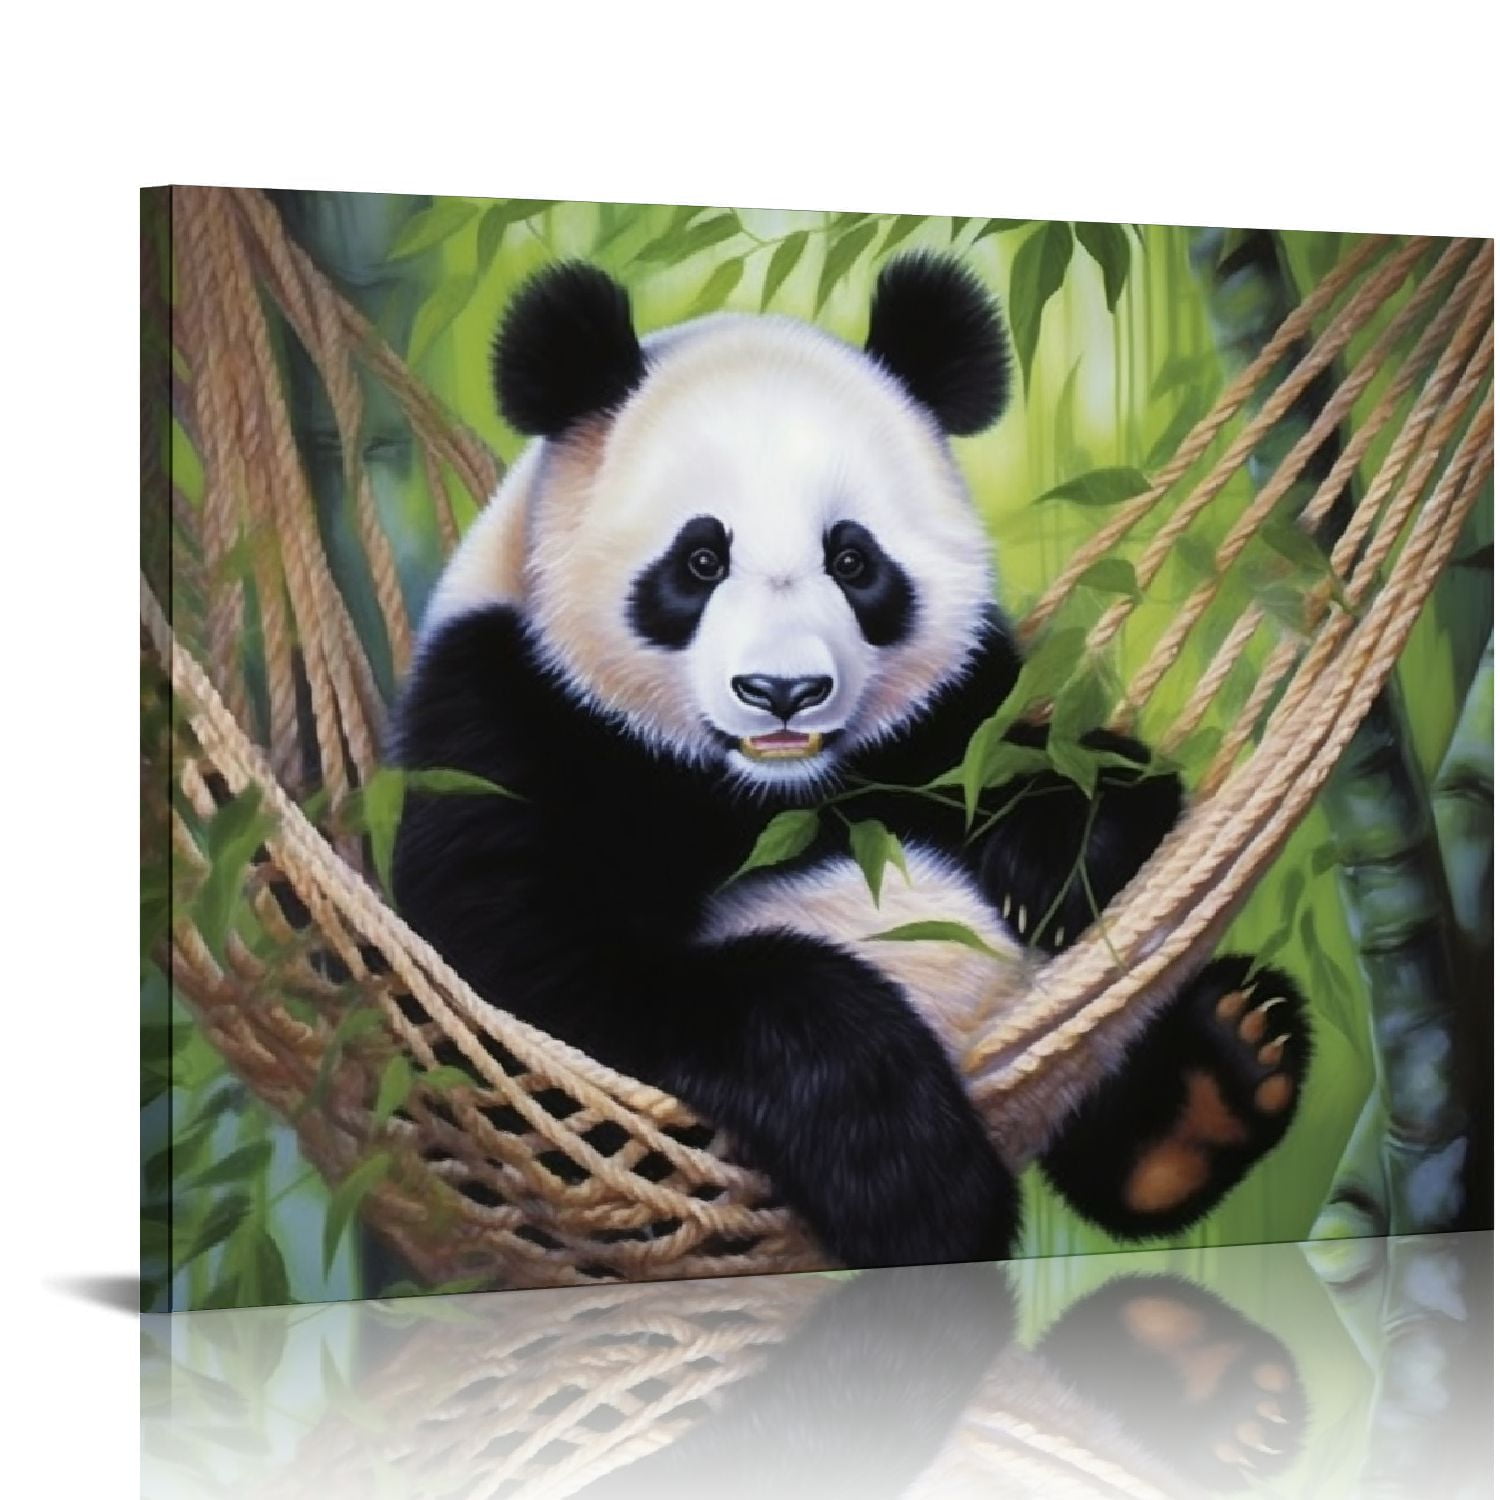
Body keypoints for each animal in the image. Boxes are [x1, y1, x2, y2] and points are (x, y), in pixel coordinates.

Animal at [389, 253, 1310, 1269]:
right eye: (700, 560)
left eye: (853, 560)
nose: (783, 691)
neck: (766, 791)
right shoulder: (502, 717)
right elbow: (535, 968)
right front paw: (918, 1185)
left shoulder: (951, 710)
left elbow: (1080, 767)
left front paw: (1053, 861)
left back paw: (1217, 1082)